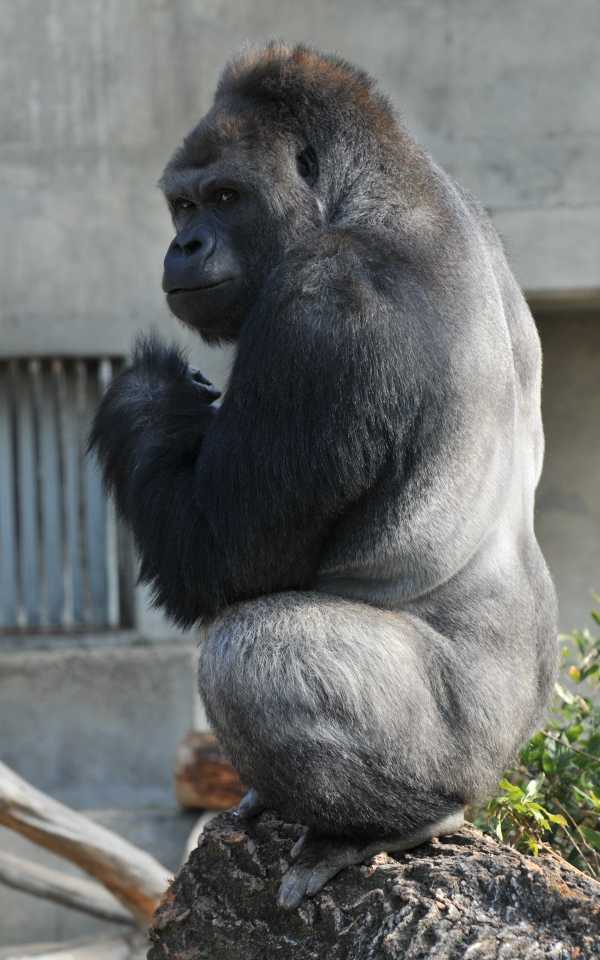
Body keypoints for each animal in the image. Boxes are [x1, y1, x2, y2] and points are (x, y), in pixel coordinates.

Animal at [89, 43, 558, 908]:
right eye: (182, 206)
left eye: (226, 196)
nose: (185, 248)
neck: (377, 189)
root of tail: (505, 763)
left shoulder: (321, 301)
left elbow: (218, 558)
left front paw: (145, 393)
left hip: (466, 755)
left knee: (248, 654)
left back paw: (387, 823)